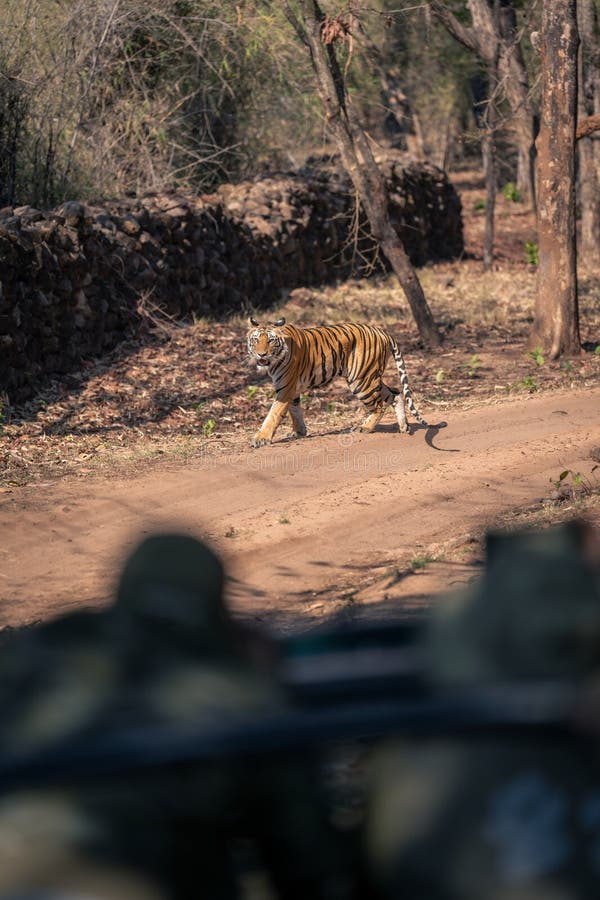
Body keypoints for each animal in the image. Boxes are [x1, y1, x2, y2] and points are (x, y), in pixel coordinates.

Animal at [246, 316, 427, 447]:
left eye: (270, 340)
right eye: (256, 340)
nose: (261, 354)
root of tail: (382, 331)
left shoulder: (285, 388)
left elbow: (274, 414)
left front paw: (261, 439)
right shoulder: (292, 389)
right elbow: (295, 410)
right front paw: (299, 432)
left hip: (360, 380)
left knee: (379, 406)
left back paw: (364, 428)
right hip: (370, 377)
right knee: (395, 394)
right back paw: (403, 427)